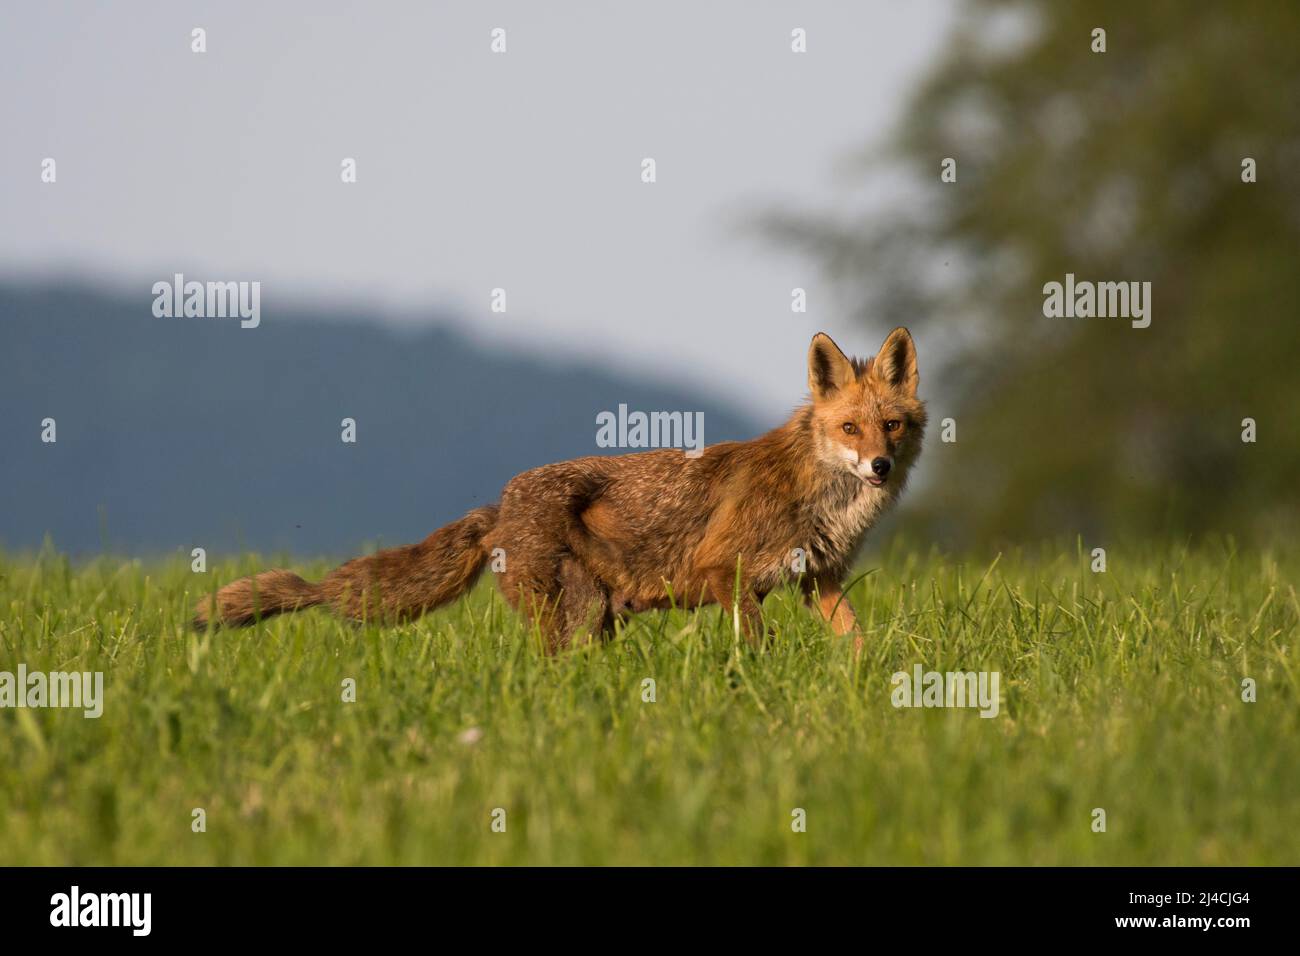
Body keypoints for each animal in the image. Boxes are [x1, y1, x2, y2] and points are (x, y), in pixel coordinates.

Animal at [194, 328, 926, 652]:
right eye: (850, 428)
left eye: (890, 426)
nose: (879, 467)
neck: (821, 501)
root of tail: (499, 503)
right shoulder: (727, 570)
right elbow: (758, 647)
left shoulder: (819, 580)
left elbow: (858, 642)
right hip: (573, 617)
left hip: (596, 618)